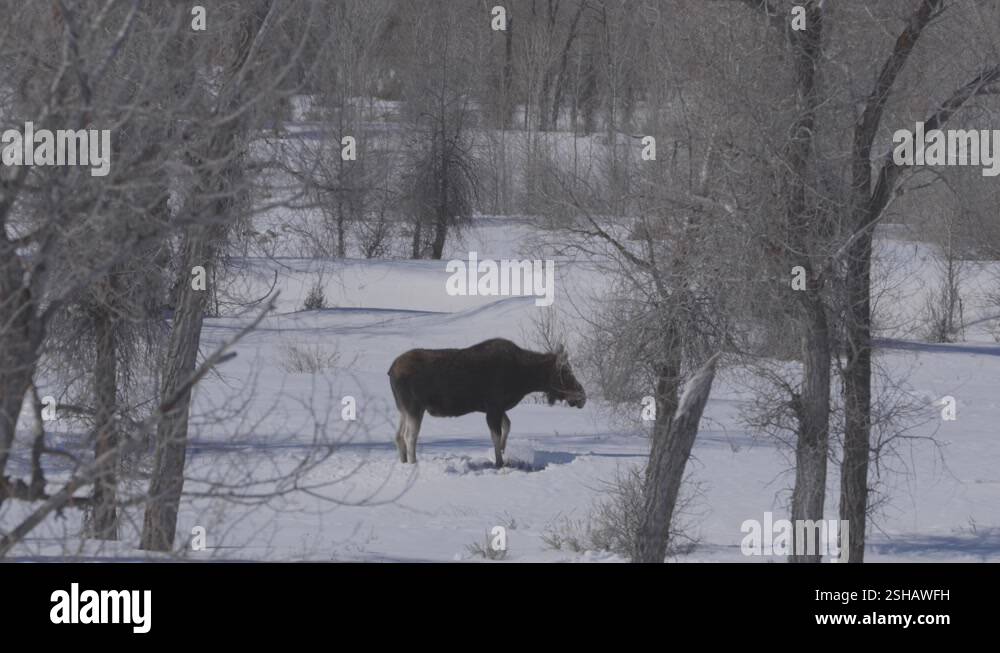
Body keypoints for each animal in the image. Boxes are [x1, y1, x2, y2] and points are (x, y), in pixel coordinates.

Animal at [388, 338, 586, 468]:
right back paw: (413, 463)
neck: (524, 378)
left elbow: (507, 426)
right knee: (410, 436)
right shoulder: (494, 407)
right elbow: (496, 435)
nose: (582, 396)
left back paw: (403, 461)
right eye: (566, 372)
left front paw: (503, 453)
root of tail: (390, 370)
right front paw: (499, 461)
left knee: (398, 435)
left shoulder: (496, 407)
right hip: (414, 407)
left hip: (404, 409)